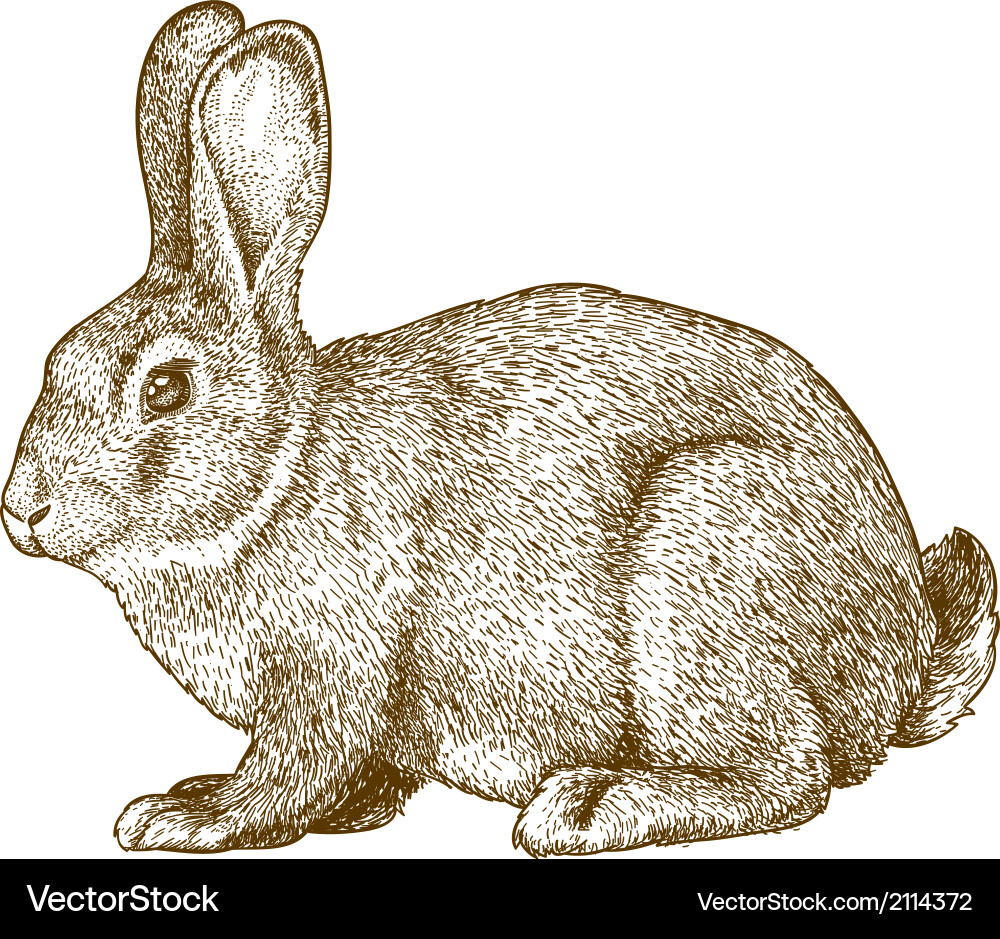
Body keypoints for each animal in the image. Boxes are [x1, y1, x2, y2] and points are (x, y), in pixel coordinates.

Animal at [2, 1, 997, 857]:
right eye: (55, 361)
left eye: (165, 388)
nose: (22, 511)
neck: (279, 474)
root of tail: (904, 658)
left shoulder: (334, 668)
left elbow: (294, 769)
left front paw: (188, 816)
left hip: (701, 567)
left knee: (790, 775)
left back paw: (590, 806)